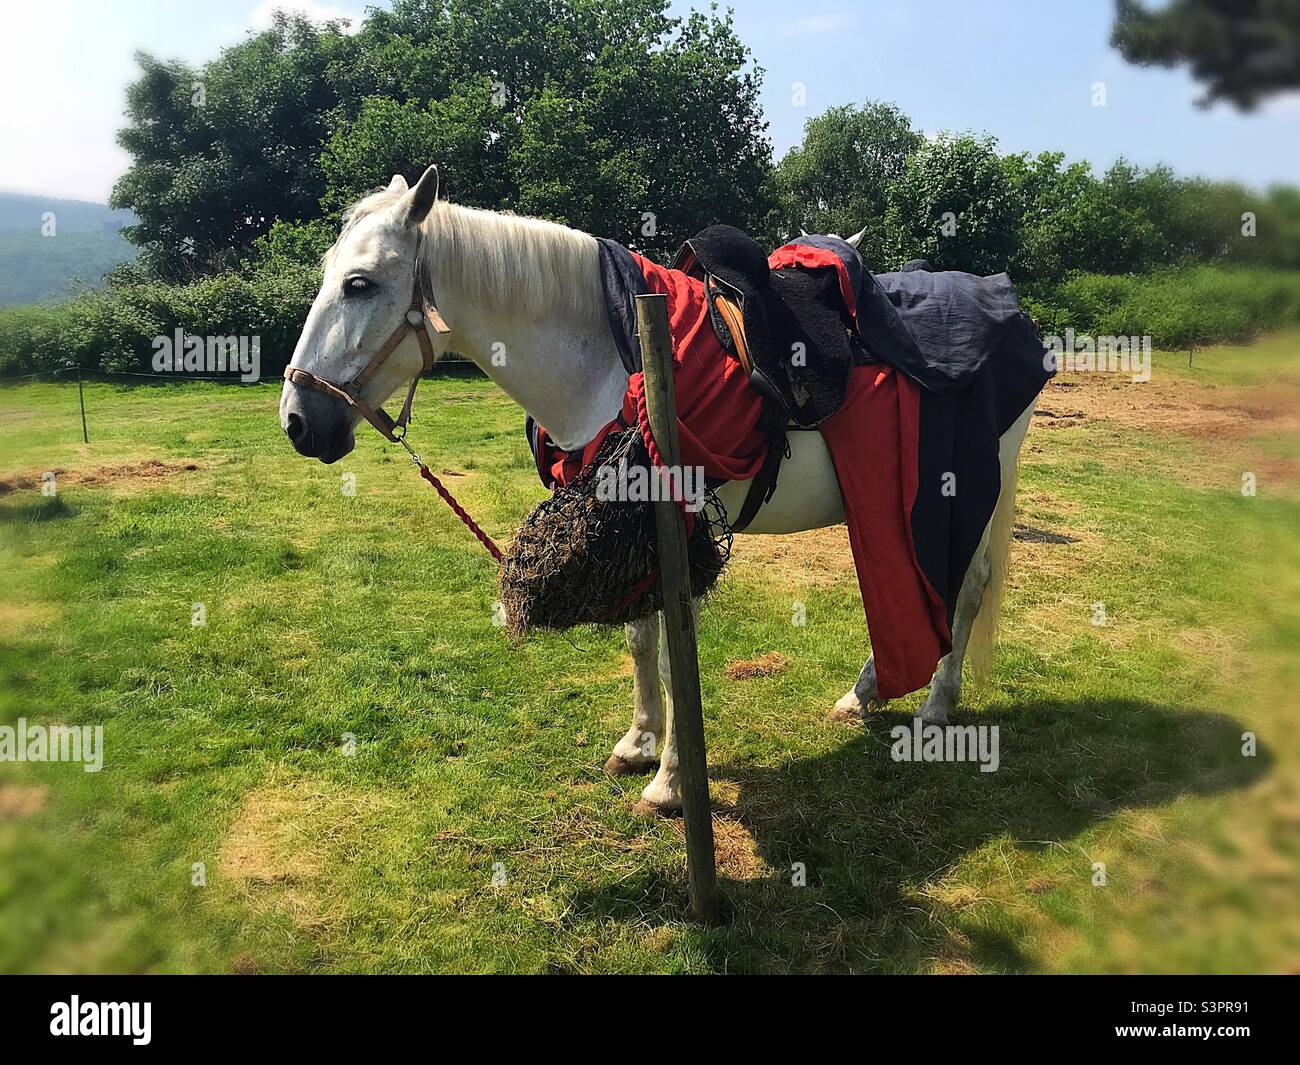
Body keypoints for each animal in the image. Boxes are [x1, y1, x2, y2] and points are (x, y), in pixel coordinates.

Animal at [279, 165, 1035, 815]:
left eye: (359, 284)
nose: (298, 421)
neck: (617, 355)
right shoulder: (624, 527)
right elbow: (642, 643)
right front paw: (639, 743)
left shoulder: (677, 528)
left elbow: (675, 658)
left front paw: (671, 782)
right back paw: (865, 694)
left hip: (965, 492)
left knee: (963, 587)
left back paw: (935, 706)